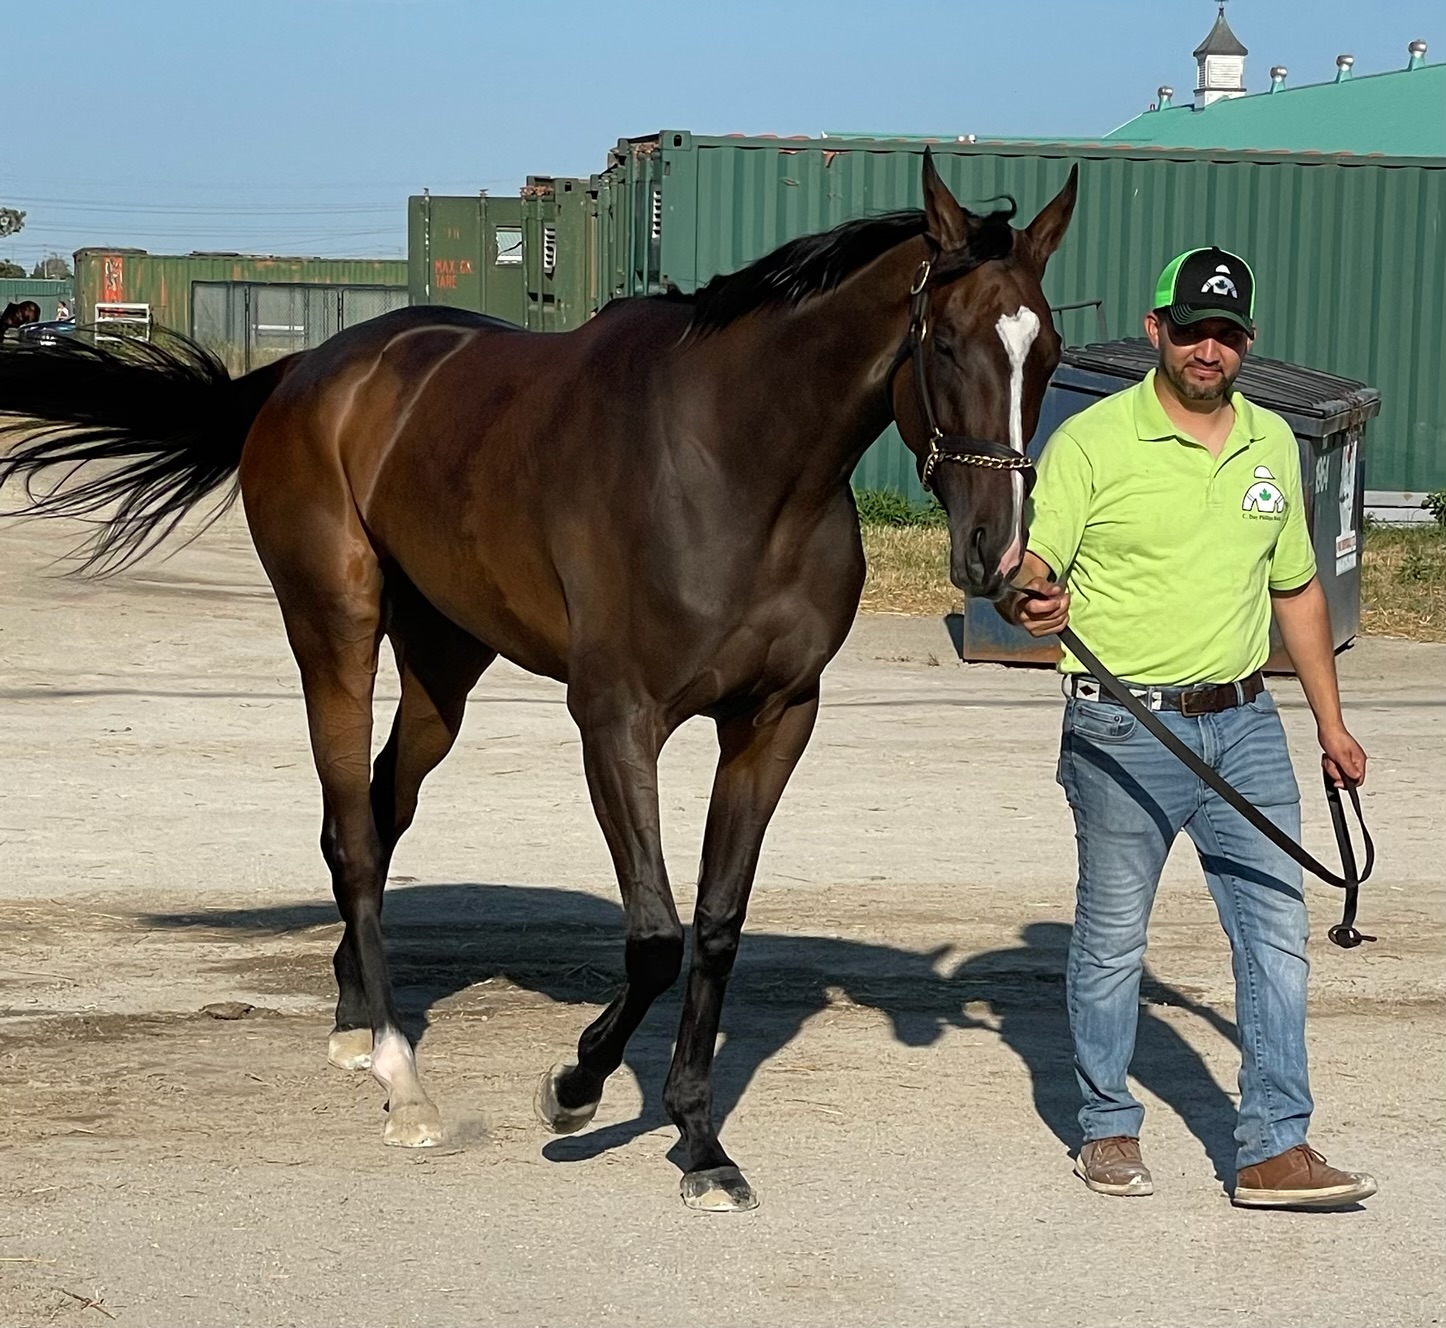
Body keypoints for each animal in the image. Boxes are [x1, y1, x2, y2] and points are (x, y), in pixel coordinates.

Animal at [0, 151, 1077, 1210]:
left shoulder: (774, 720)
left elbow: (716, 926)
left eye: (1051, 352)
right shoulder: (617, 719)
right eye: (945, 343)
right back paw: (401, 1074)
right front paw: (574, 1086)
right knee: (354, 832)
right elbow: (653, 935)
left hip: (445, 663)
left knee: (380, 811)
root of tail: (311, 372)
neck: (736, 466)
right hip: (334, 631)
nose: (995, 553)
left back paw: (354, 1018)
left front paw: (699, 1142)